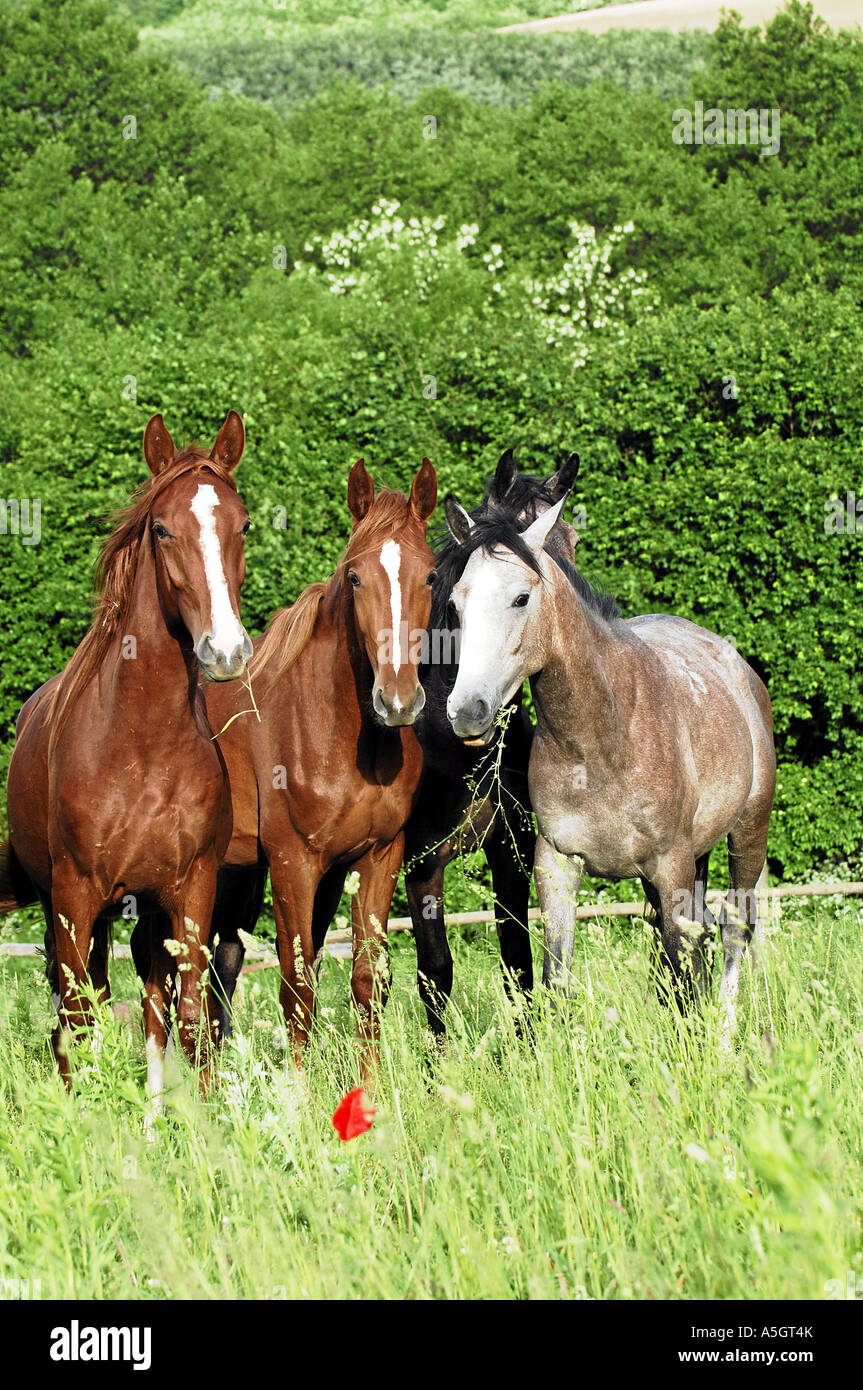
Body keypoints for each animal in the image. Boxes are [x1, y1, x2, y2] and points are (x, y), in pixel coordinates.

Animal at [0, 412, 253, 1096]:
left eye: (243, 524)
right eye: (161, 529)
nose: (226, 650)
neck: (141, 749)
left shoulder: (191, 891)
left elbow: (189, 1017)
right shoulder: (75, 893)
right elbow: (75, 1019)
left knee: (150, 1004)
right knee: (77, 1003)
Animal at [136, 457, 438, 1083]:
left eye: (428, 576)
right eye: (355, 578)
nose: (397, 700)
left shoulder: (377, 856)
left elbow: (367, 980)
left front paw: (370, 1092)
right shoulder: (293, 862)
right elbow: (297, 987)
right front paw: (298, 1096)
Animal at [443, 484, 776, 1043]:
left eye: (521, 598)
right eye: (457, 602)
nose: (467, 711)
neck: (601, 738)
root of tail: (738, 667)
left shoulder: (671, 865)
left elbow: (683, 966)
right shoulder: (557, 865)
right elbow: (557, 980)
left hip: (747, 834)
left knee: (733, 929)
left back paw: (726, 1035)